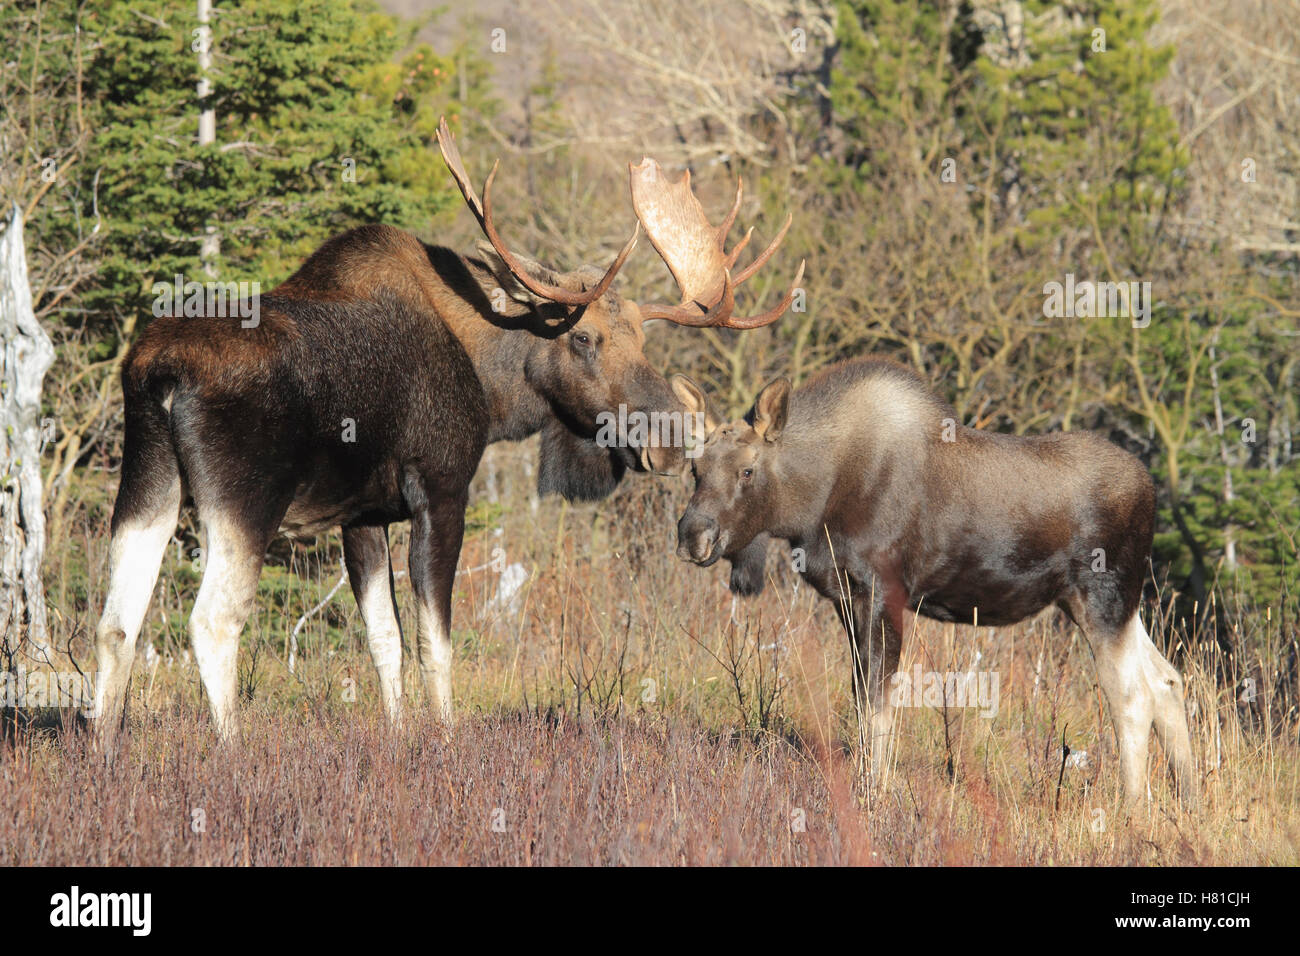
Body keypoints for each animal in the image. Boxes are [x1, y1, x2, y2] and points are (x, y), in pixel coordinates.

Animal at [94, 119, 803, 741]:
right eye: (583, 338)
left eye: (644, 339)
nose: (670, 436)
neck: (492, 385)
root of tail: (161, 372)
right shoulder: (440, 490)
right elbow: (436, 642)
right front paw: (444, 738)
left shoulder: (362, 515)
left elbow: (384, 641)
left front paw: (400, 737)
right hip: (244, 504)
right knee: (213, 621)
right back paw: (233, 752)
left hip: (148, 488)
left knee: (116, 623)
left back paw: (104, 751)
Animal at [672, 357, 1198, 808]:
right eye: (695, 469)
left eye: (747, 470)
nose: (692, 535)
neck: (814, 499)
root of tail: (1150, 488)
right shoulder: (846, 597)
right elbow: (861, 696)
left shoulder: (882, 591)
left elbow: (877, 701)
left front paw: (876, 793)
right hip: (1111, 603)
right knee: (1167, 678)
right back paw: (1187, 802)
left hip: (1103, 594)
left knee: (1131, 694)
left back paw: (1134, 810)